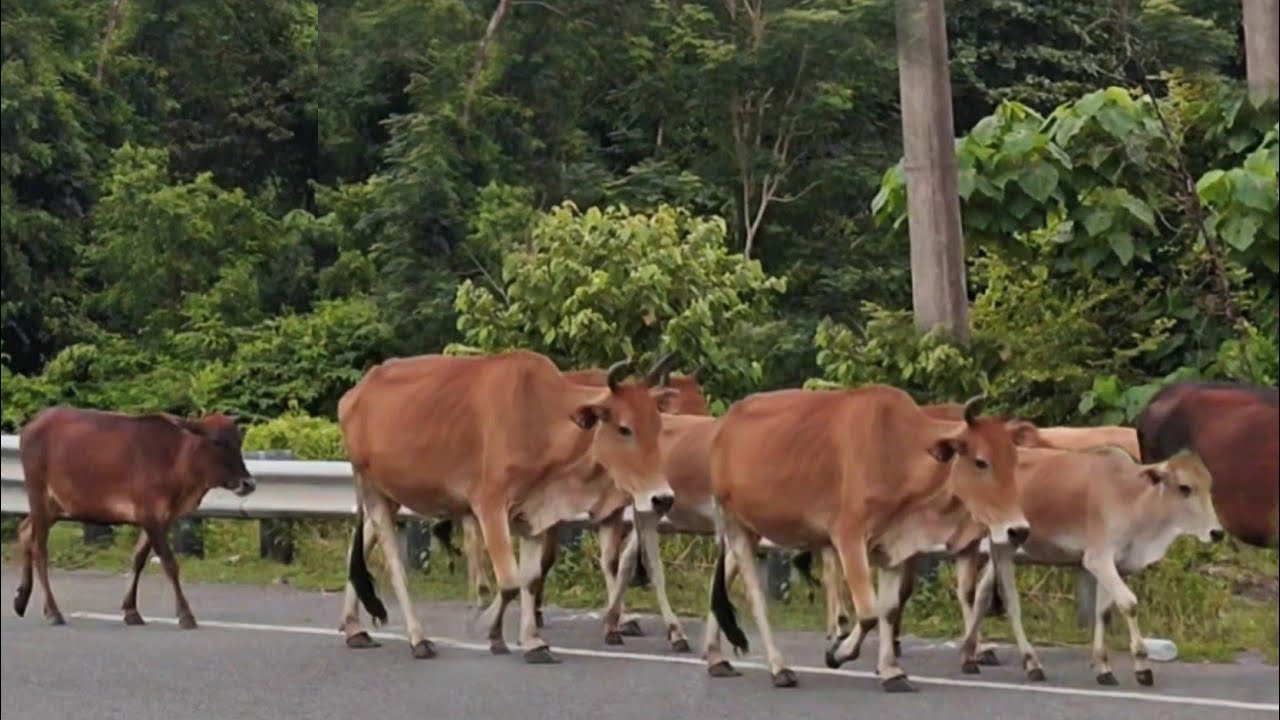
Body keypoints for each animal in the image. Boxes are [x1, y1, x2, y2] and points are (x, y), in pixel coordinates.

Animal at [12, 407, 255, 629]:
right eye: (217, 442)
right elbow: (170, 564)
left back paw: (21, 599)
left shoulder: (160, 519)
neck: (176, 462)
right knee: (39, 550)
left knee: (24, 531)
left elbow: (138, 560)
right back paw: (53, 611)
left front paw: (131, 611)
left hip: (55, 507)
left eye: (239, 440)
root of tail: (31, 426)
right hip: (39, 497)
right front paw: (185, 615)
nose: (248, 483)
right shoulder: (150, 516)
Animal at [337, 350, 679, 663]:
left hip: (390, 495)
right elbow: (510, 582)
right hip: (373, 492)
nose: (662, 498)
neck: (542, 417)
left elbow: (529, 579)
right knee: (395, 567)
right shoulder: (490, 507)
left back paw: (354, 628)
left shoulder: (535, 515)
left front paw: (533, 642)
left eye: (658, 426)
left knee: (361, 546)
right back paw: (418, 638)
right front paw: (487, 628)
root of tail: (356, 393)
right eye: (624, 428)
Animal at [702, 387, 1030, 692]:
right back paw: (779, 668)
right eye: (981, 462)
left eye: (1014, 461)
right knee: (755, 597)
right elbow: (870, 613)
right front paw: (837, 652)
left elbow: (888, 609)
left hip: (752, 529)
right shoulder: (849, 538)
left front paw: (891, 672)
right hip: (735, 524)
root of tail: (726, 423)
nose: (1019, 530)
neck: (901, 451)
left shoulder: (893, 548)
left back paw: (716, 657)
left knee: (725, 578)